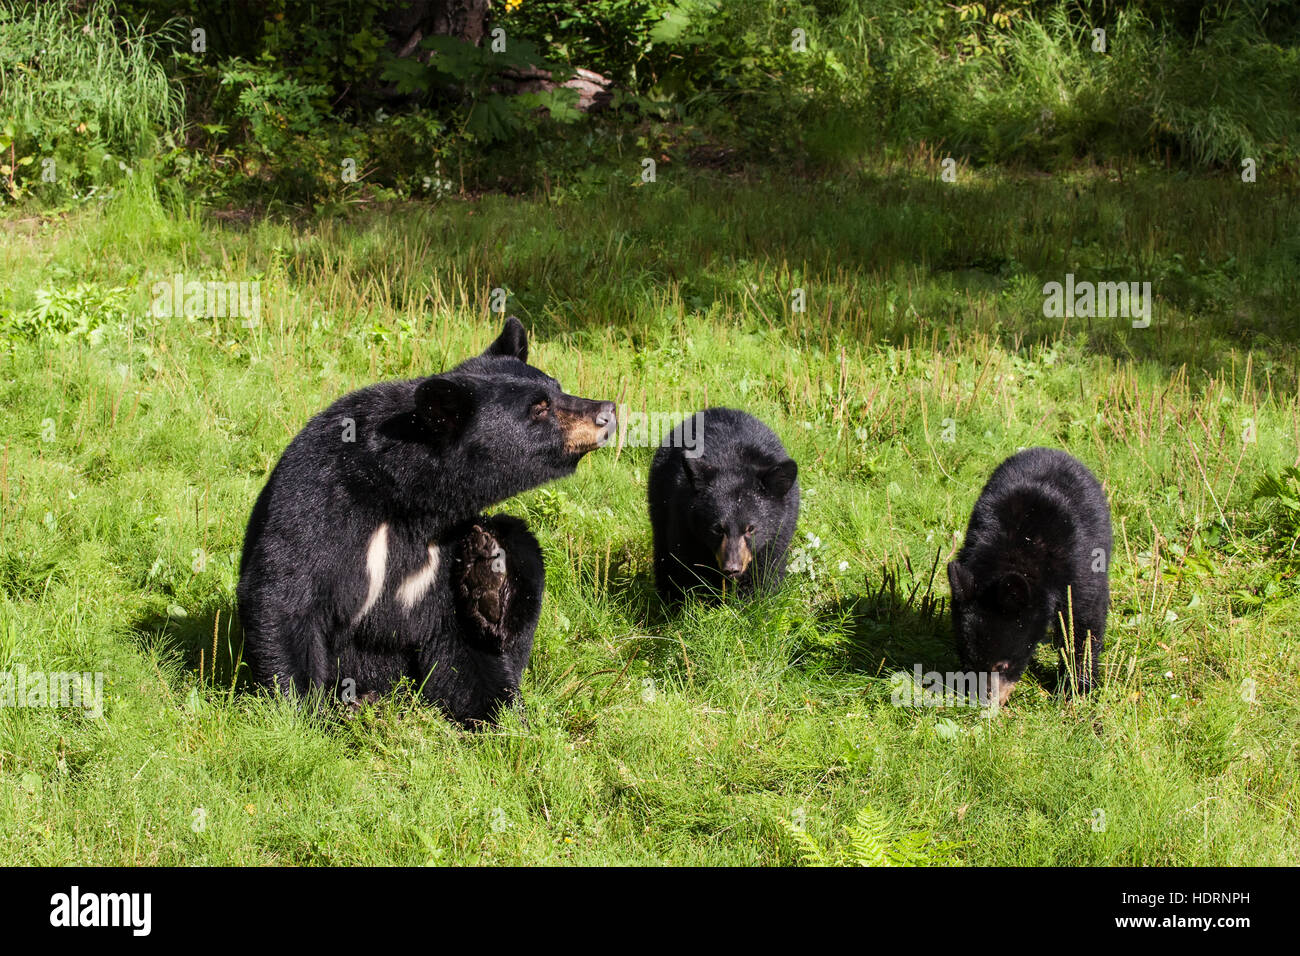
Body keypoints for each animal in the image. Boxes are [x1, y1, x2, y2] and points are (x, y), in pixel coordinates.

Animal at [236, 317, 615, 726]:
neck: (409, 498)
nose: (607, 411)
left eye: (557, 387)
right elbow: (286, 594)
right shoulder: (321, 497)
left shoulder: (447, 550)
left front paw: (502, 716)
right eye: (539, 408)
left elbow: (458, 651)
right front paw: (302, 712)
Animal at [648, 407, 799, 602]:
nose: (732, 568)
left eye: (751, 528)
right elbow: (686, 570)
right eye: (717, 528)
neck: (734, 460)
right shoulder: (684, 524)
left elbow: (765, 572)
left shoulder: (779, 532)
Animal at [947, 447, 1112, 707]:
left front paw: (1077, 688)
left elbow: (1084, 618)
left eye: (1002, 665)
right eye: (968, 661)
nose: (986, 703)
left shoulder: (1079, 565)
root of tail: (1051, 450)